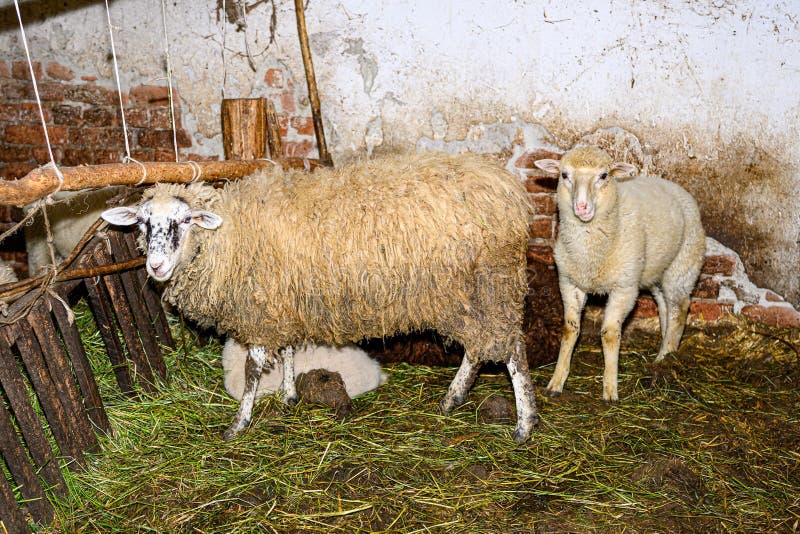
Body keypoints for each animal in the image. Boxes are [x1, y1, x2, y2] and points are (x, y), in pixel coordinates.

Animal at [534, 146, 705, 401]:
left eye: (604, 175)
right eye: (564, 175)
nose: (581, 207)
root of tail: (673, 185)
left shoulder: (624, 288)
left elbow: (610, 333)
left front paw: (610, 389)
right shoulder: (570, 282)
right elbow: (570, 329)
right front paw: (556, 382)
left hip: (683, 265)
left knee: (679, 310)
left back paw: (667, 357)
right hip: (655, 271)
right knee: (665, 307)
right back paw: (663, 352)